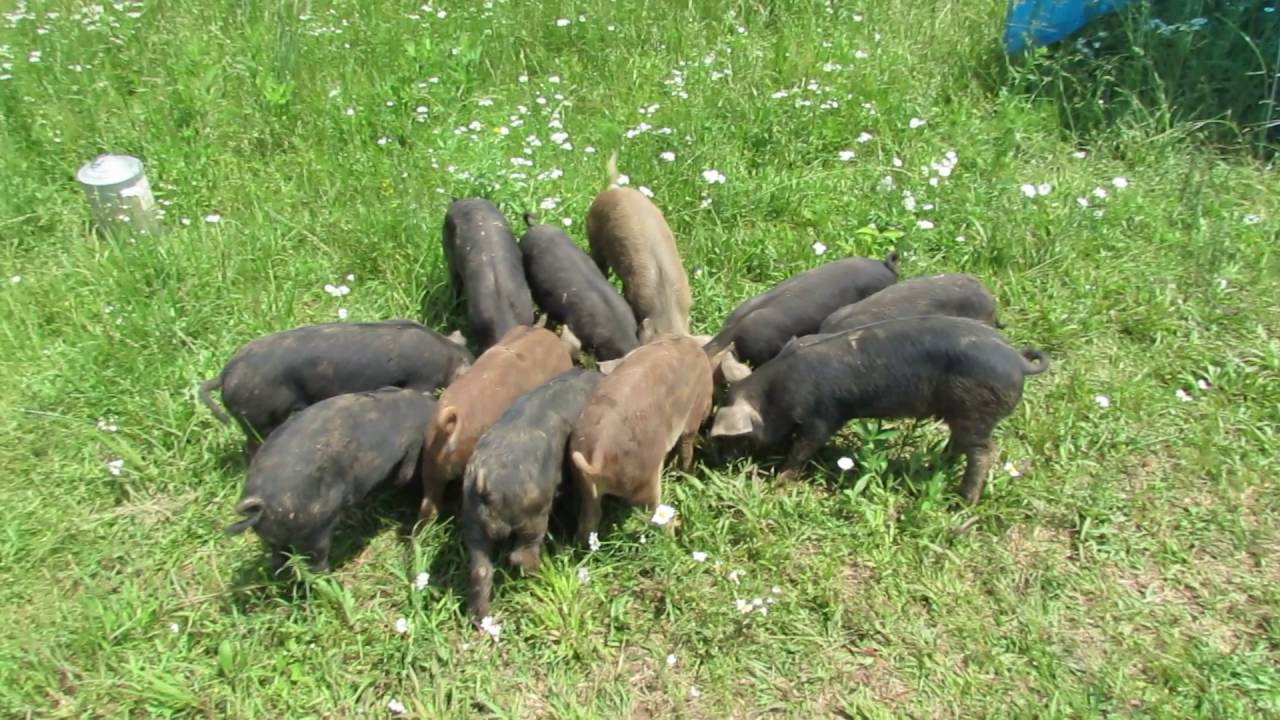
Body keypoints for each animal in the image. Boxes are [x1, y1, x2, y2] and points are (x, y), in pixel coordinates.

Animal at [224, 387, 435, 572]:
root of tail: (261, 502)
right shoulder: (413, 445)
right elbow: (404, 475)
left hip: (272, 539)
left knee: (276, 559)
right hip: (315, 531)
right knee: (316, 563)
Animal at [462, 368, 603, 620]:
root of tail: (485, 482)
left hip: (473, 522)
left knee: (480, 570)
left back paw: (480, 619)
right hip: (533, 515)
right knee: (522, 554)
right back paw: (545, 570)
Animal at [569, 335, 732, 542]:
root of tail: (599, 451)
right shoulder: (692, 417)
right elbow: (687, 448)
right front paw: (688, 475)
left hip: (585, 484)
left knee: (589, 520)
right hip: (645, 480)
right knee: (655, 515)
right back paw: (674, 538)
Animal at [709, 316, 1049, 504]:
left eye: (737, 436)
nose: (720, 460)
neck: (776, 391)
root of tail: (1018, 361)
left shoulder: (824, 416)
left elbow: (803, 448)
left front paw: (779, 480)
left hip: (977, 410)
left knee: (984, 451)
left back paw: (961, 502)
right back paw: (936, 464)